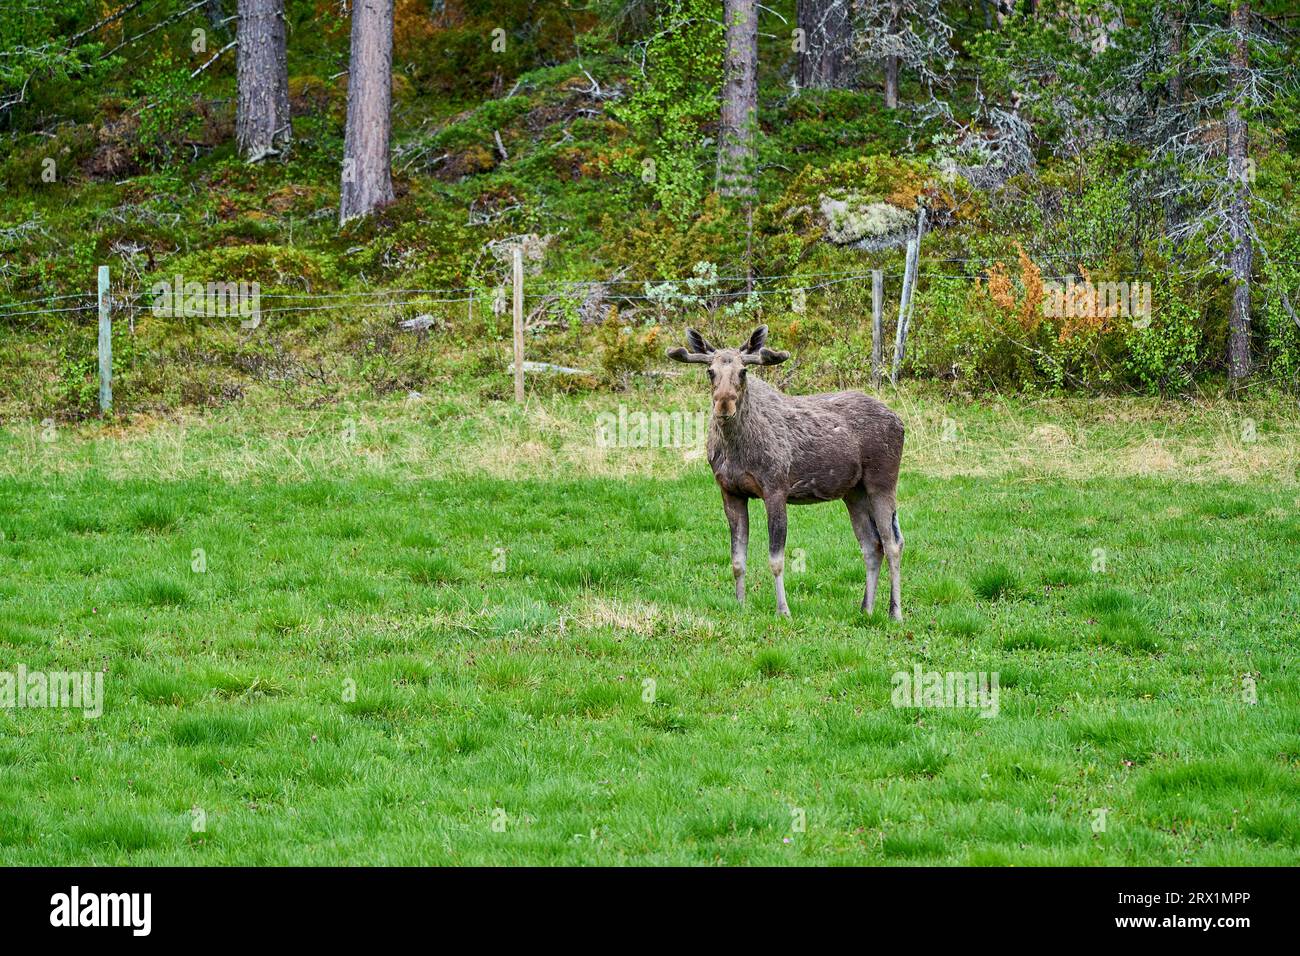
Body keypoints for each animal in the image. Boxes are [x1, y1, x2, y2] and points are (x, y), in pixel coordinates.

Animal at [668, 326, 905, 619]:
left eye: (743, 371)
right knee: (872, 545)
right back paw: (866, 609)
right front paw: (740, 605)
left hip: (883, 481)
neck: (737, 450)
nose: (724, 405)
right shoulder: (730, 491)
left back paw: (895, 612)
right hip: (853, 492)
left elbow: (776, 559)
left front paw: (783, 610)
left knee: (893, 543)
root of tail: (901, 423)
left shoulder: (776, 489)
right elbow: (737, 560)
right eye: (710, 371)